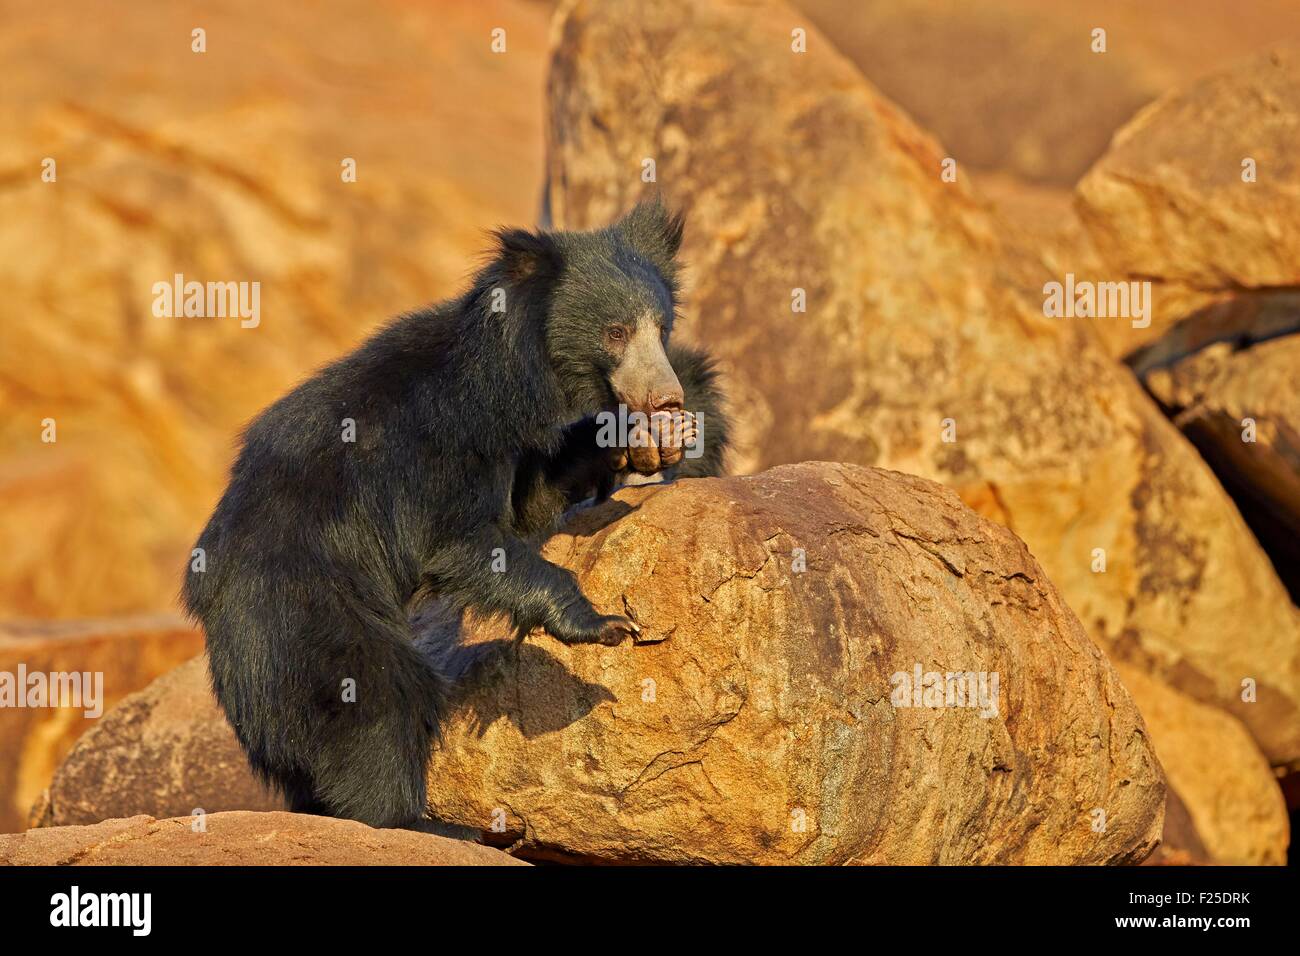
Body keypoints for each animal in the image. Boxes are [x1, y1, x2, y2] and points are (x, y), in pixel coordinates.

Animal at [182, 199, 729, 829]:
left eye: (661, 328)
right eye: (615, 332)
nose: (667, 399)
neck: (513, 375)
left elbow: (529, 503)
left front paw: (639, 442)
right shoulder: (446, 440)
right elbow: (462, 541)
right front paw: (606, 625)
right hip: (306, 604)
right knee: (379, 694)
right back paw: (409, 817)